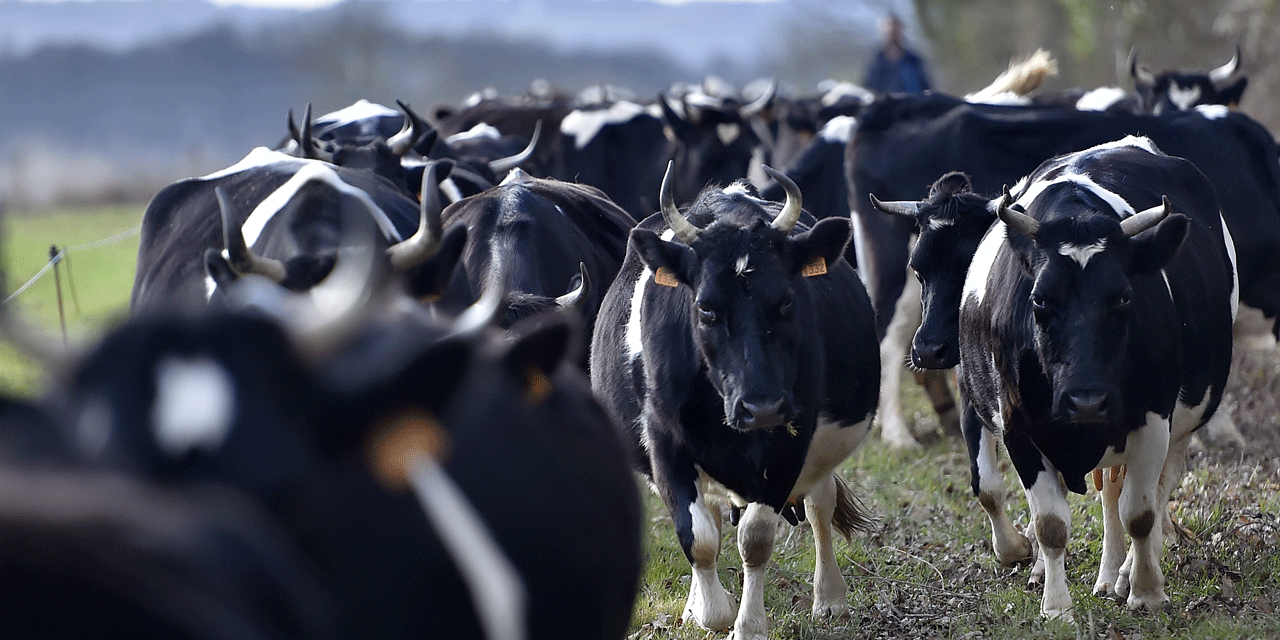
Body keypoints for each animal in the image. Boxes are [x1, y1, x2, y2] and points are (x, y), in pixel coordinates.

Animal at [591, 164, 879, 639]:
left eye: (786, 302)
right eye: (706, 308)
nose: (760, 408)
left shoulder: (789, 442)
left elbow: (756, 538)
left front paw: (748, 625)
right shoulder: (665, 441)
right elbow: (699, 539)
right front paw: (710, 610)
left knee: (819, 504)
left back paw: (830, 598)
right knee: (711, 512)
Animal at [890, 138, 1236, 619]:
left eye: (1123, 297)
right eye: (1039, 299)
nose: (927, 348)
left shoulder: (1152, 419)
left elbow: (1141, 513)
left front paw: (1146, 590)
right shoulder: (1011, 420)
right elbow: (1036, 514)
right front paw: (1052, 599)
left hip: (1185, 417)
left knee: (1151, 490)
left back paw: (1124, 573)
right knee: (1109, 491)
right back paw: (1106, 574)